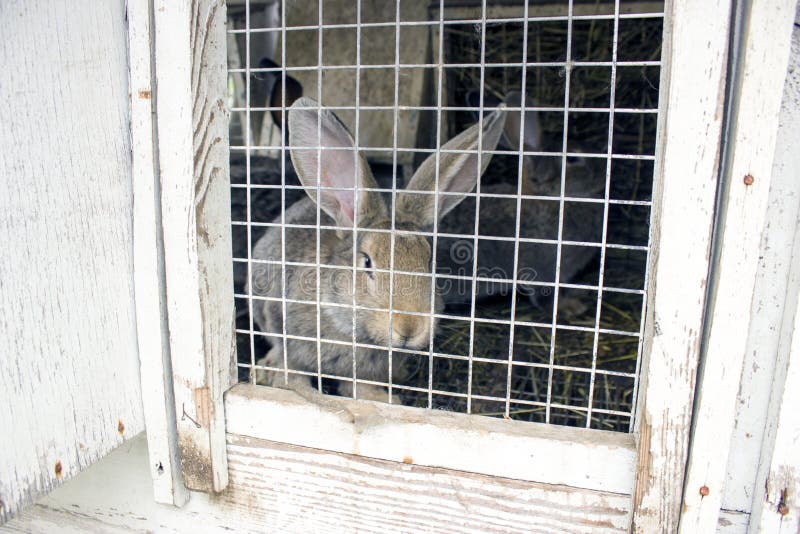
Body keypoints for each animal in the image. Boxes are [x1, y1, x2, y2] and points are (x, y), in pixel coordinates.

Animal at [249, 97, 507, 402]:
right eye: (367, 263)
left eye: (429, 263)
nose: (409, 327)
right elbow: (291, 371)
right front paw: (298, 389)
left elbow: (358, 388)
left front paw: (387, 399)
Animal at [434, 91, 604, 310]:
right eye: (573, 159)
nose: (604, 173)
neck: (547, 198)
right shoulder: (545, 270)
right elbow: (544, 298)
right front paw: (571, 307)